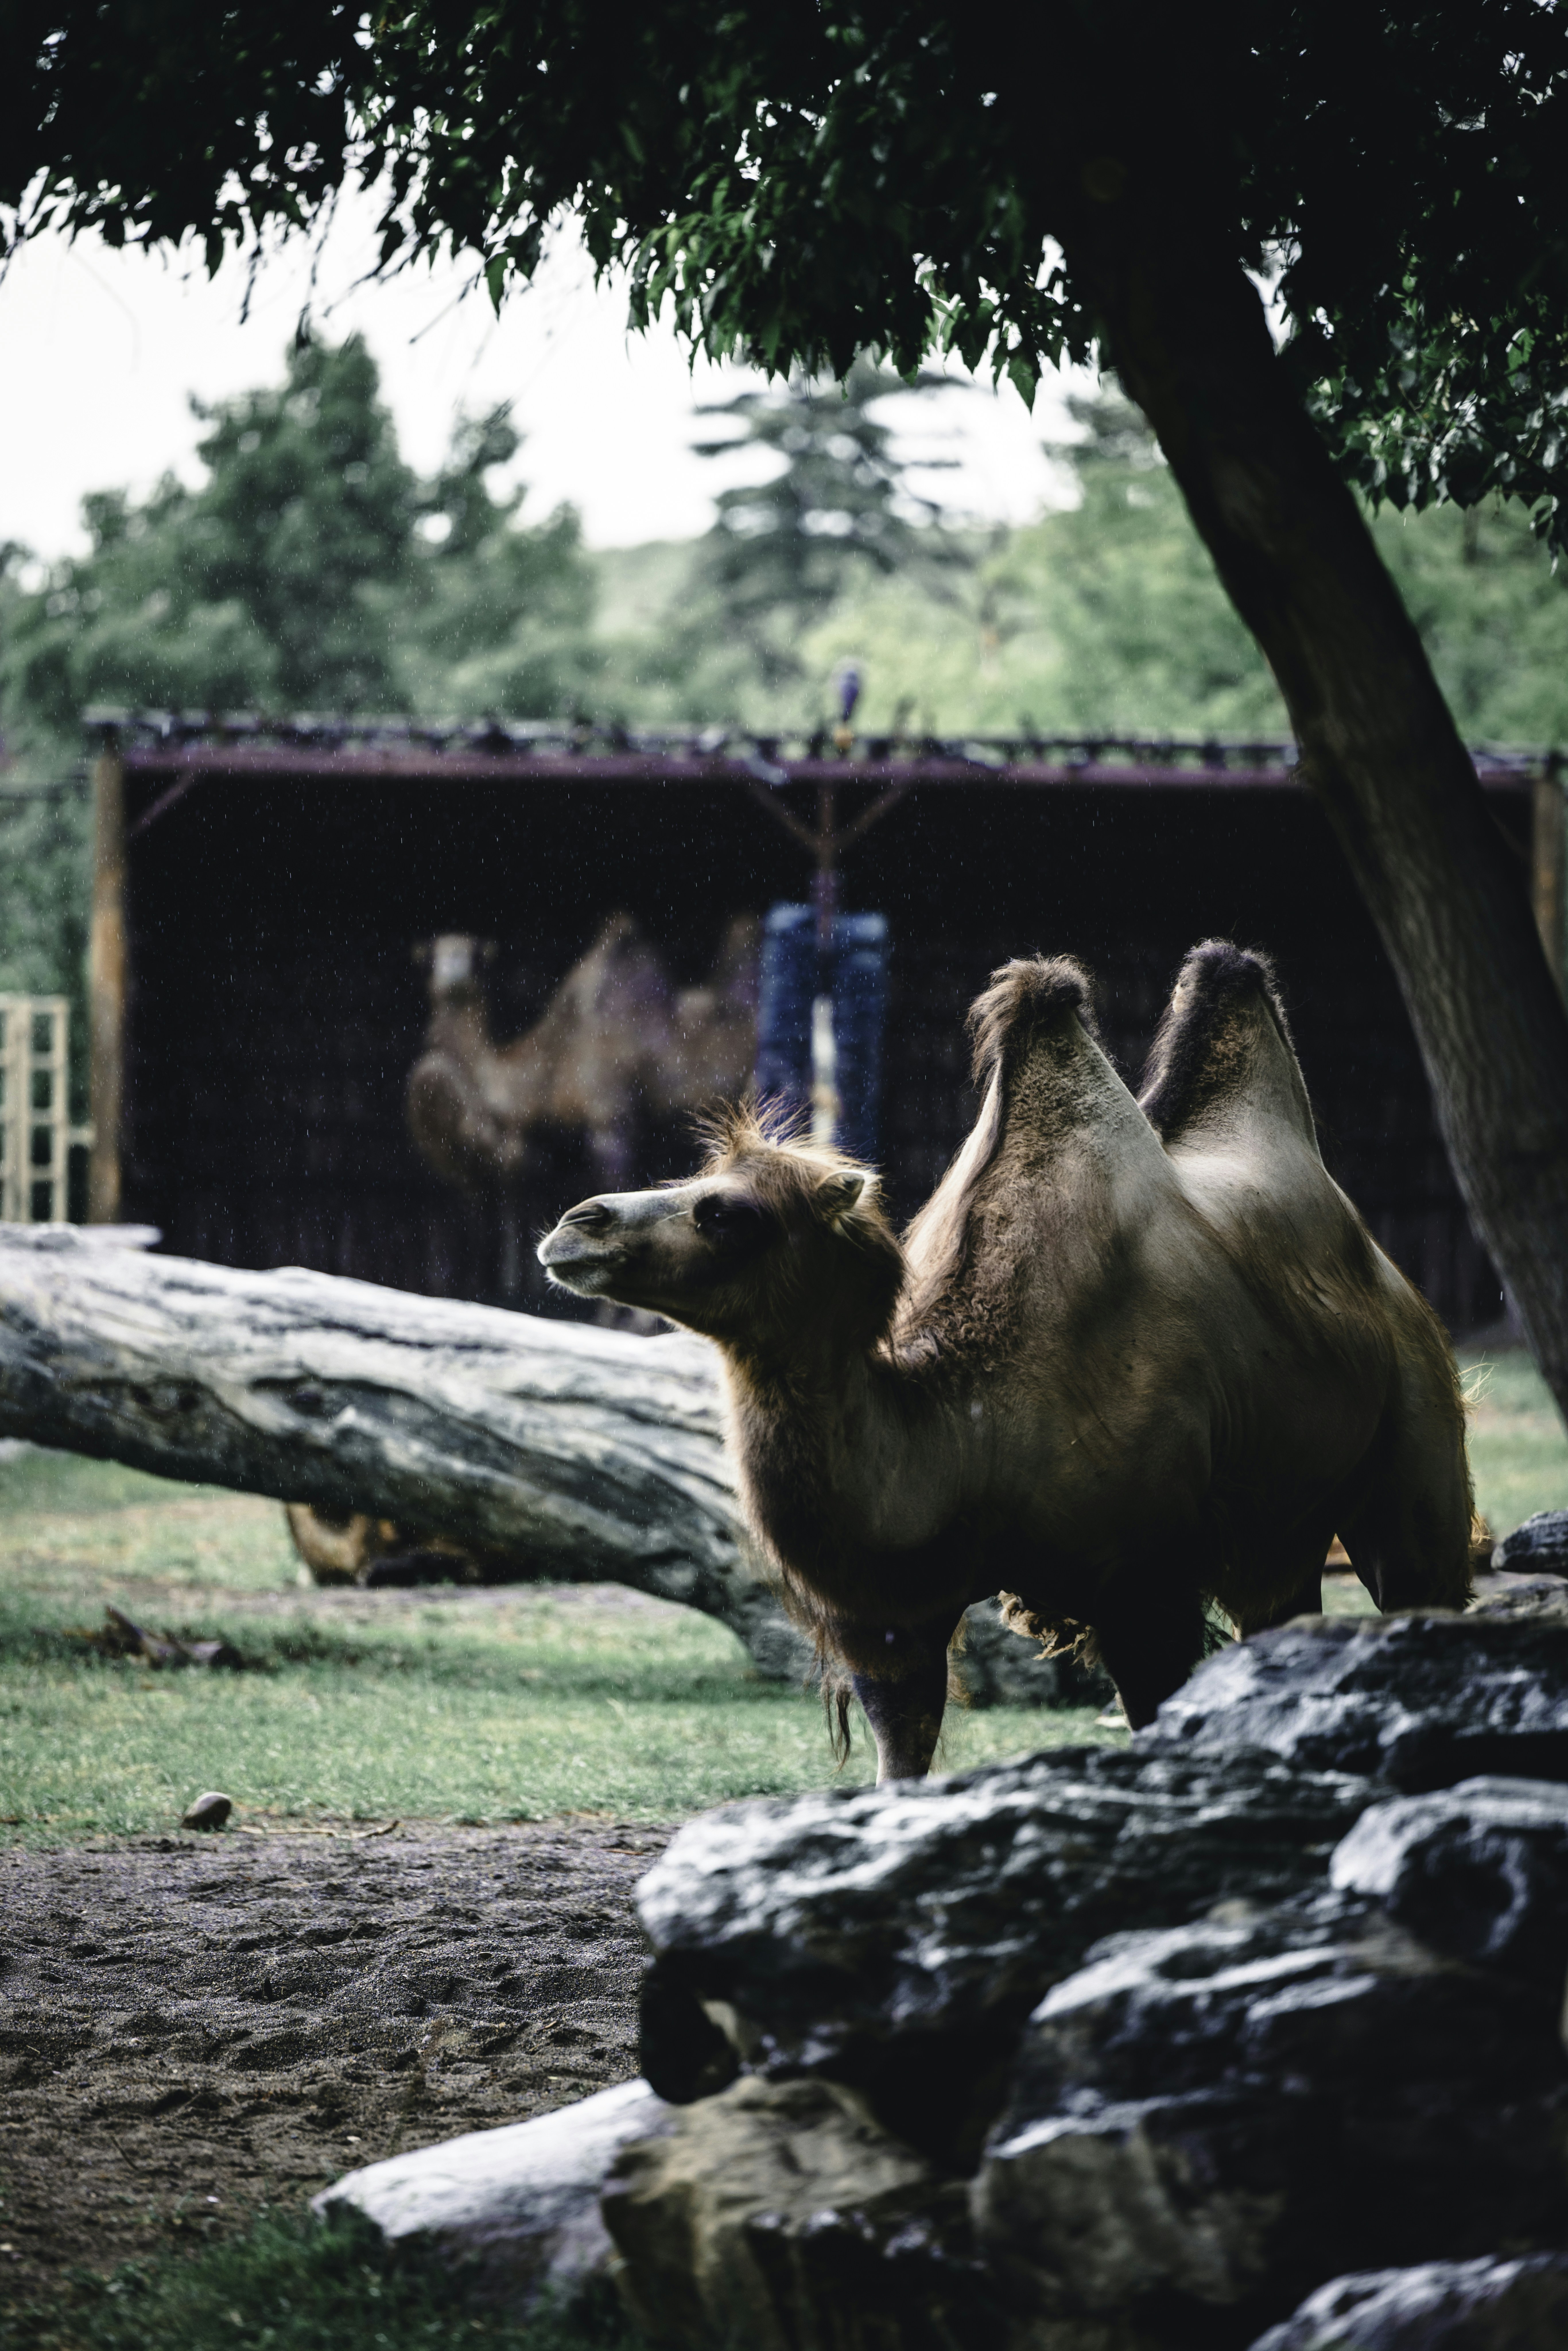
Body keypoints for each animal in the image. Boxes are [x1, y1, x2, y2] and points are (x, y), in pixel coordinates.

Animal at [537, 940, 1473, 1781]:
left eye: (726, 1212)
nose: (576, 1223)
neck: (971, 1427)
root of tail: (1389, 1276)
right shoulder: (896, 1615)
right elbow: (900, 1757)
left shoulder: (1147, 1582)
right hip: (1277, 1515)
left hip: (1416, 1434)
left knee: (1415, 1582)